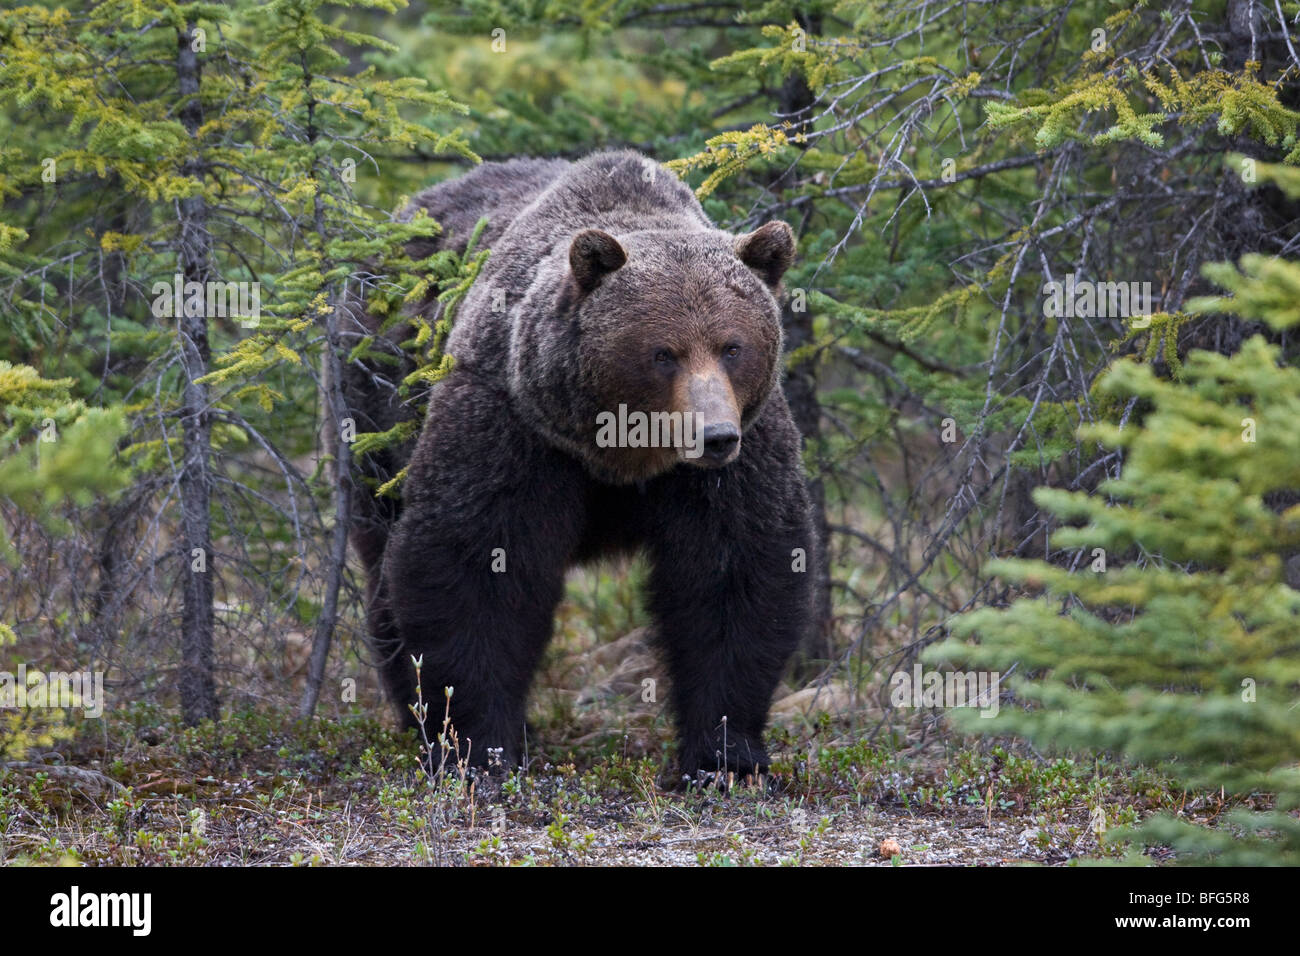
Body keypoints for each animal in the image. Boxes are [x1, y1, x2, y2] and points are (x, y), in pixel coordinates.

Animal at [340, 150, 815, 783]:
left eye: (732, 347)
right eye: (663, 353)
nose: (713, 436)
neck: (618, 452)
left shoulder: (742, 452)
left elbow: (734, 571)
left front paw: (725, 755)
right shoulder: (514, 424)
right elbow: (475, 562)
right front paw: (481, 747)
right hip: (374, 407)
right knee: (382, 558)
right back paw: (413, 712)